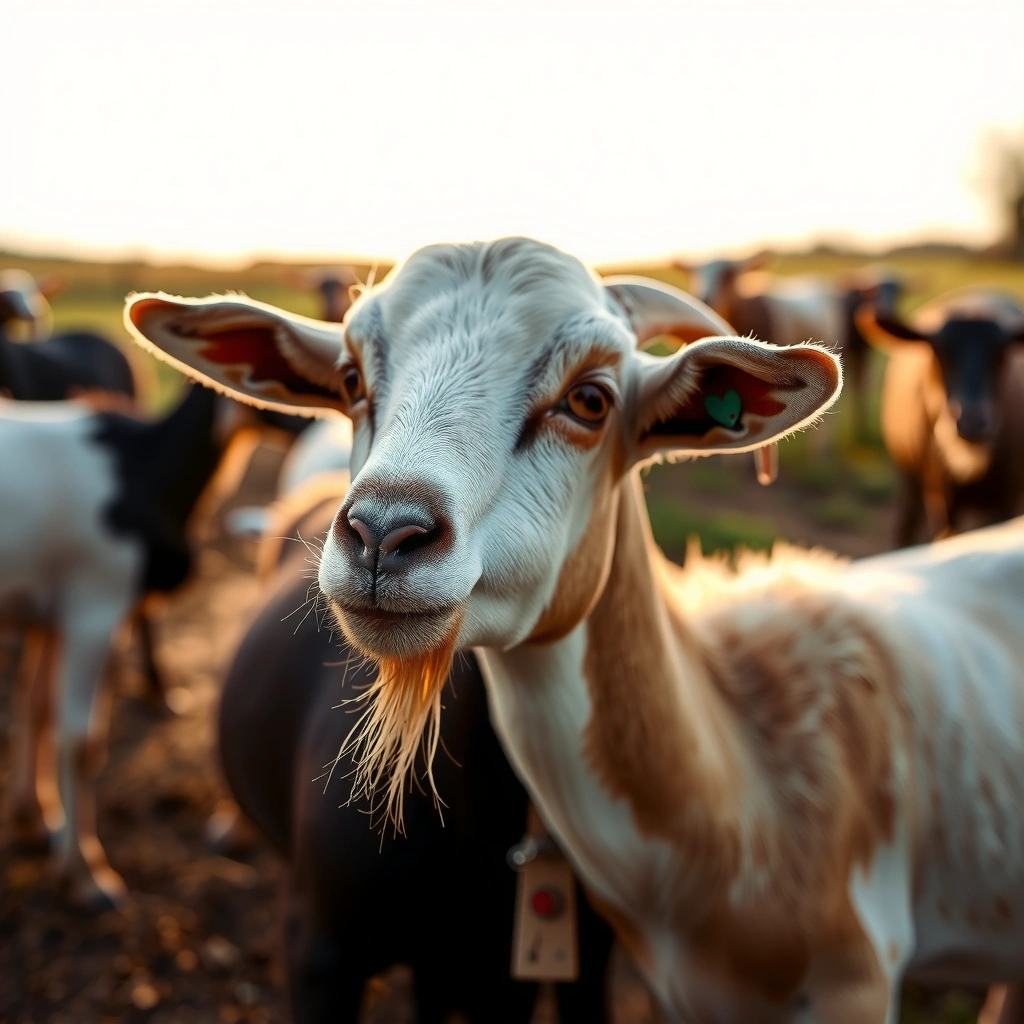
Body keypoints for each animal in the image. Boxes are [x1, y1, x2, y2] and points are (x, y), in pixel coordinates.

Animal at [0, 383, 228, 909]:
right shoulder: (93, 611)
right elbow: (79, 741)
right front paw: (85, 877)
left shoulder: (52, 616)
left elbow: (35, 708)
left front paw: (34, 819)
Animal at [858, 289, 1024, 545]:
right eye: (939, 352)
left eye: (1001, 354)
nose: (971, 424)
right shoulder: (940, 498)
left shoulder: (1006, 499)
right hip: (910, 480)